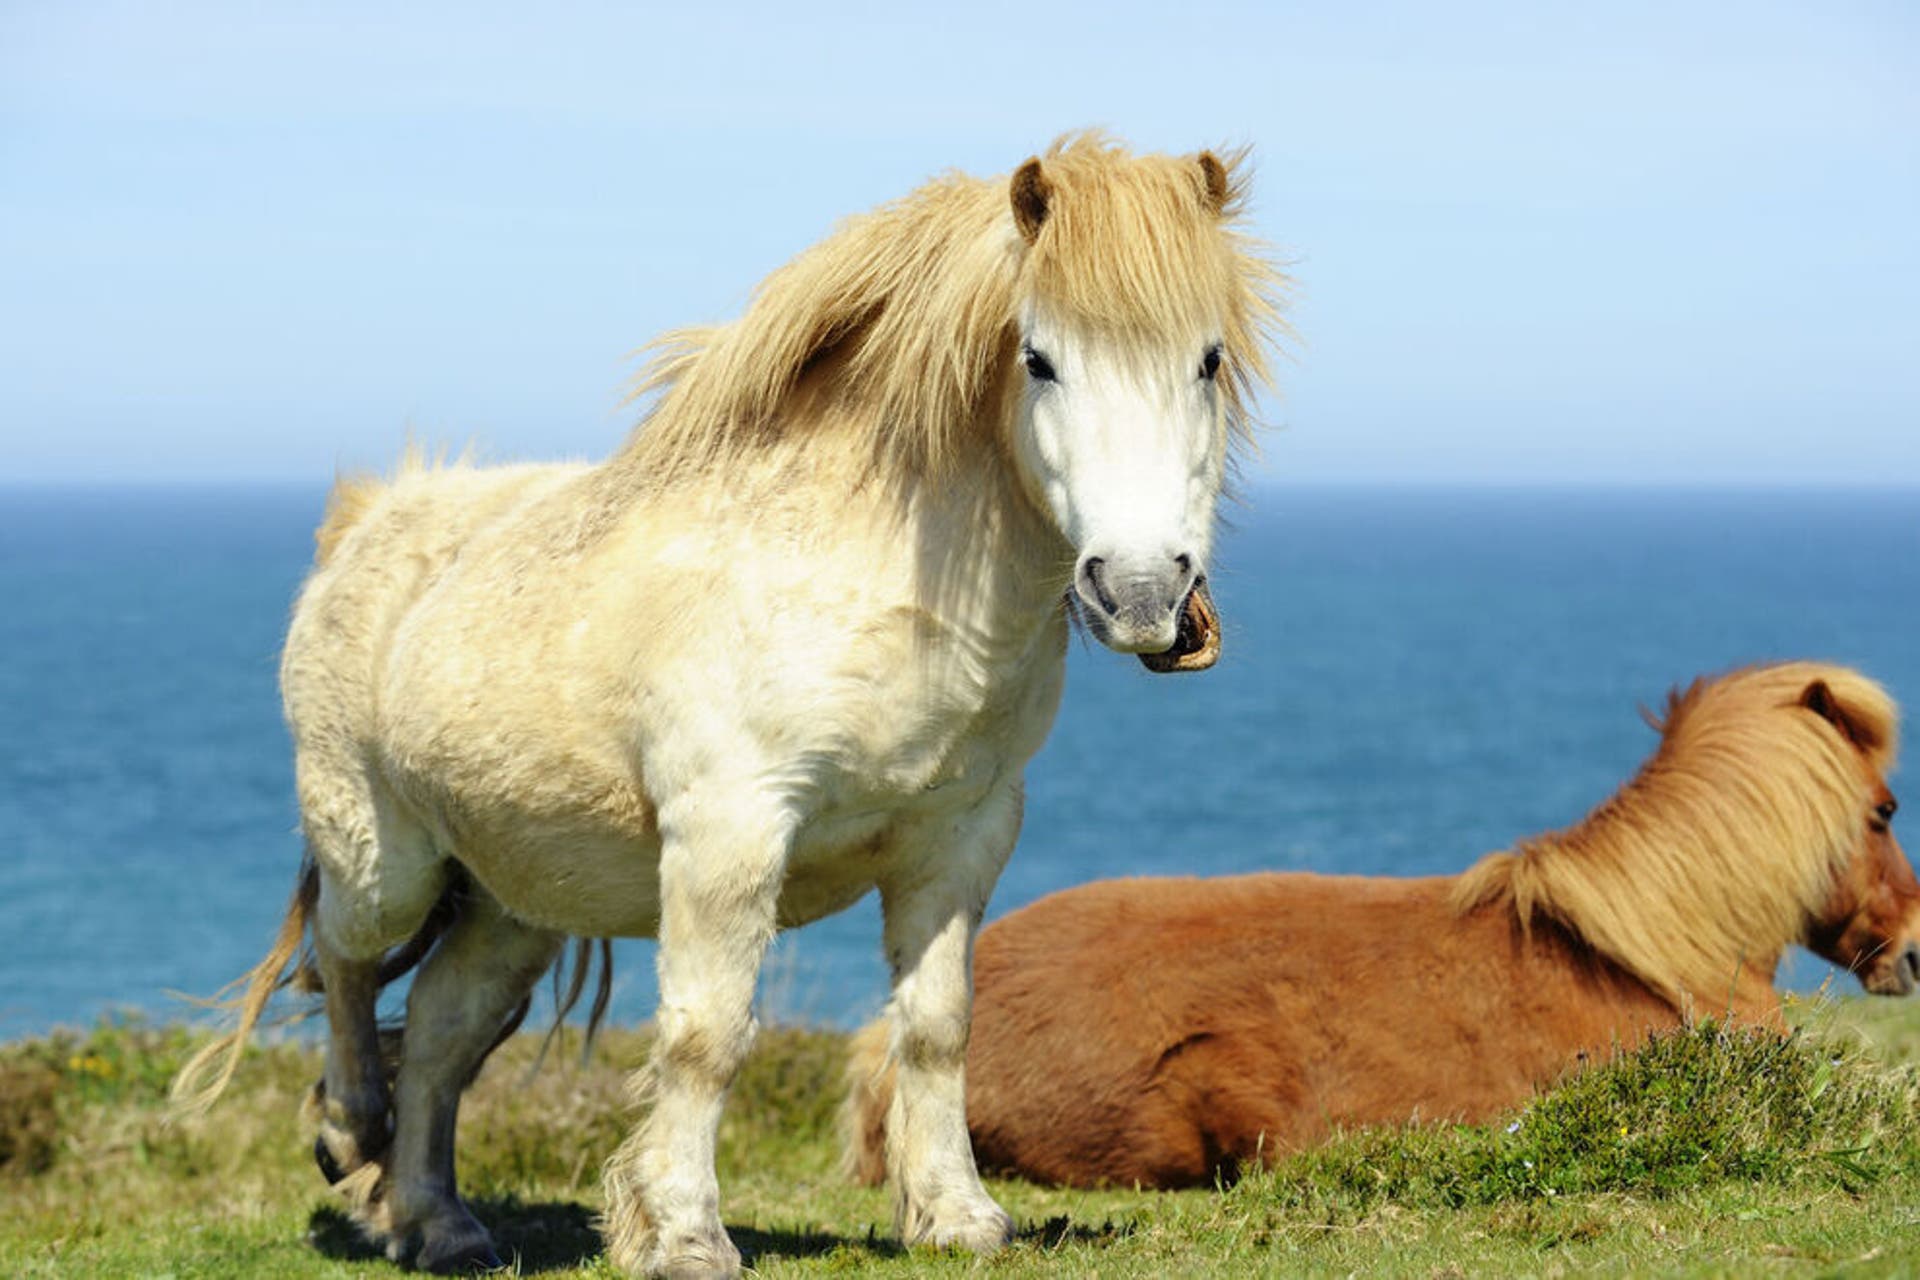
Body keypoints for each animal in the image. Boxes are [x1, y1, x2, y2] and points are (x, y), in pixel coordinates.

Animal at [168, 133, 1285, 1276]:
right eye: (1039, 360)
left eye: (1207, 360)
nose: (1141, 593)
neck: (876, 577)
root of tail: (369, 520)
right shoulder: (731, 830)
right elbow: (706, 1035)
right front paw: (684, 1232)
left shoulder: (960, 835)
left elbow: (937, 1026)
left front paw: (957, 1216)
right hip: (385, 858)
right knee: (346, 959)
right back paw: (351, 1132)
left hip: (514, 899)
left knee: (441, 1026)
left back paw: (436, 1221)